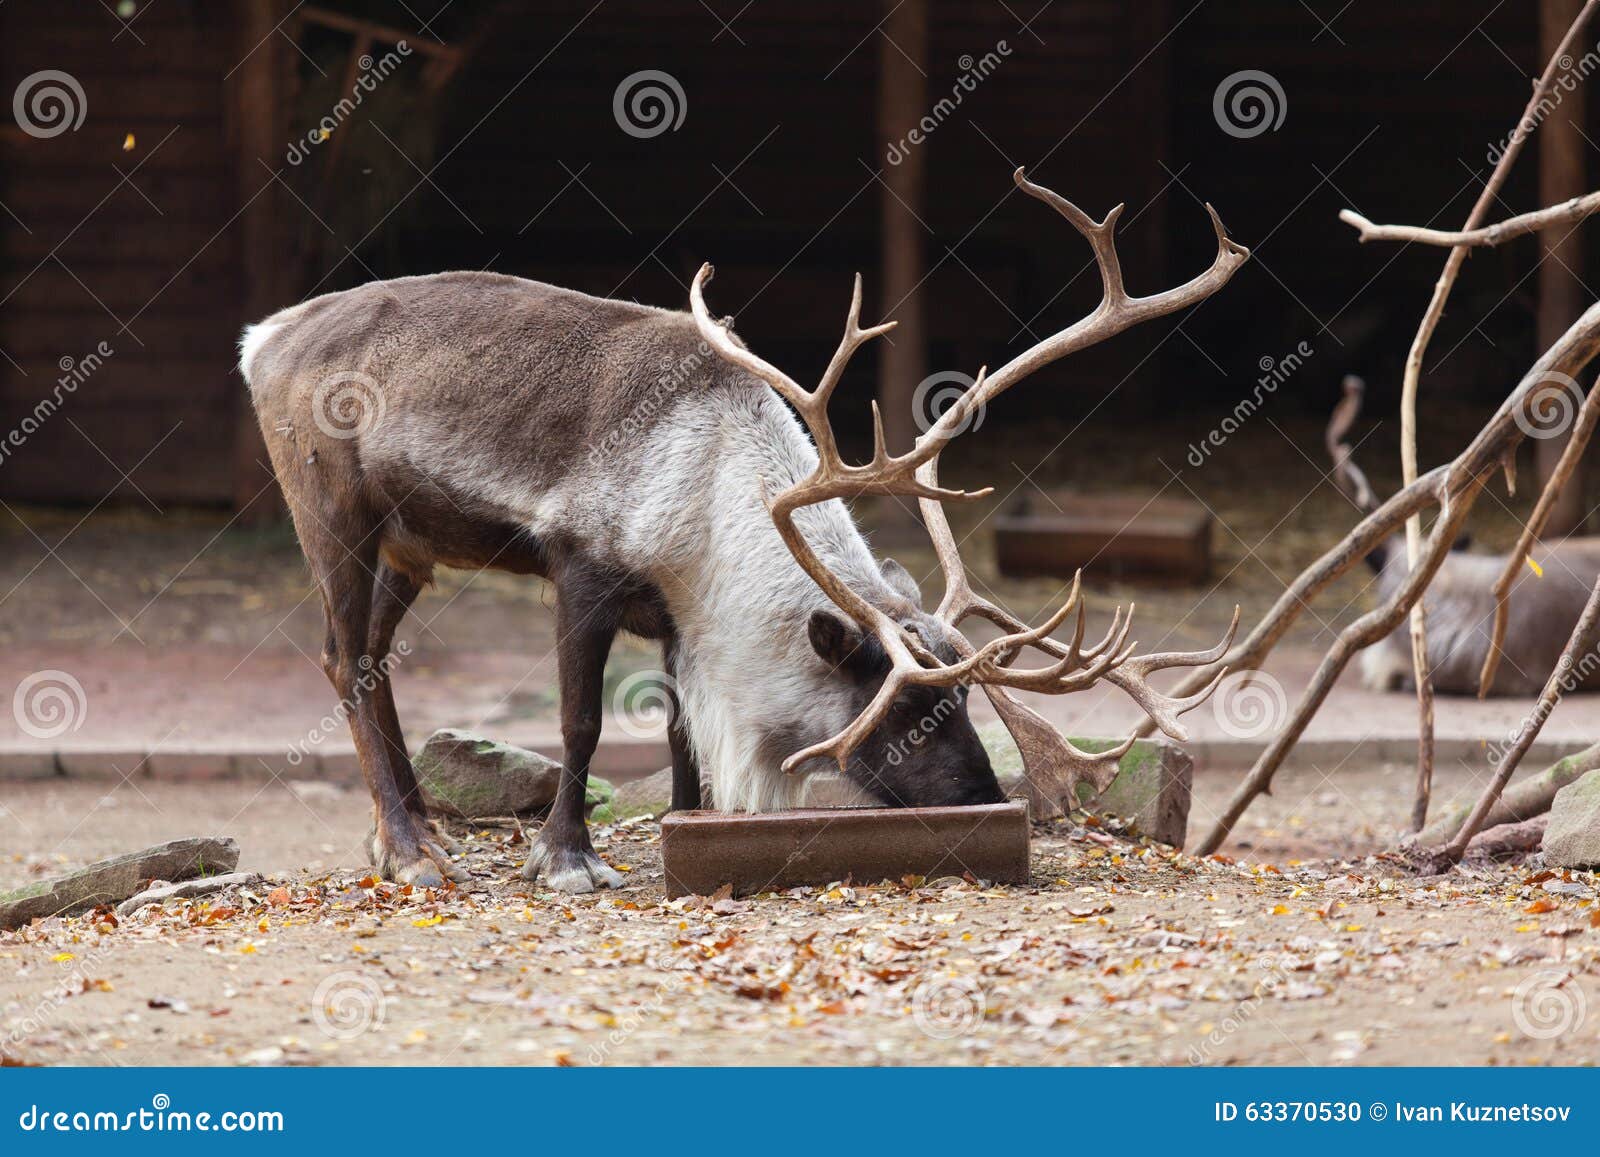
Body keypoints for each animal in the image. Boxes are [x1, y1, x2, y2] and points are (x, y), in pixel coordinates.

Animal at [240, 167, 1248, 892]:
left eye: (966, 699)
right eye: (907, 710)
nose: (984, 799)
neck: (716, 477)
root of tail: (266, 336)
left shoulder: (680, 619)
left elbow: (683, 732)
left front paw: (694, 825)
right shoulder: (583, 571)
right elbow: (581, 722)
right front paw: (567, 857)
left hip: (411, 545)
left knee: (373, 659)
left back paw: (406, 832)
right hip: (334, 512)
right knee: (340, 656)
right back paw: (412, 852)